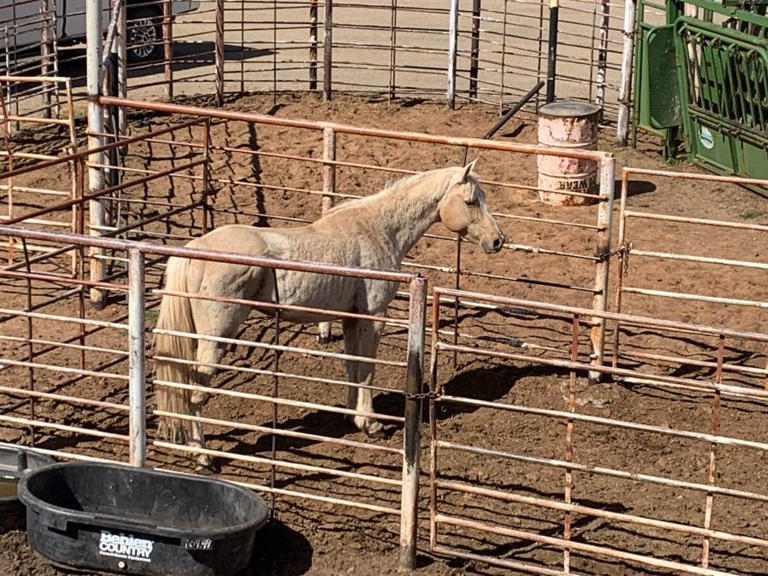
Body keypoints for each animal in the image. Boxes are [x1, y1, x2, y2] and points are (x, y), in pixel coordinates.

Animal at [154, 160, 505, 470]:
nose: (497, 240)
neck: (379, 229)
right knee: (195, 394)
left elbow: (352, 365)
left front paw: (353, 416)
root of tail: (195, 250)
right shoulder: (373, 316)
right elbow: (367, 368)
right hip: (215, 340)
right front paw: (371, 425)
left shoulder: (350, 317)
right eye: (471, 201)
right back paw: (204, 458)